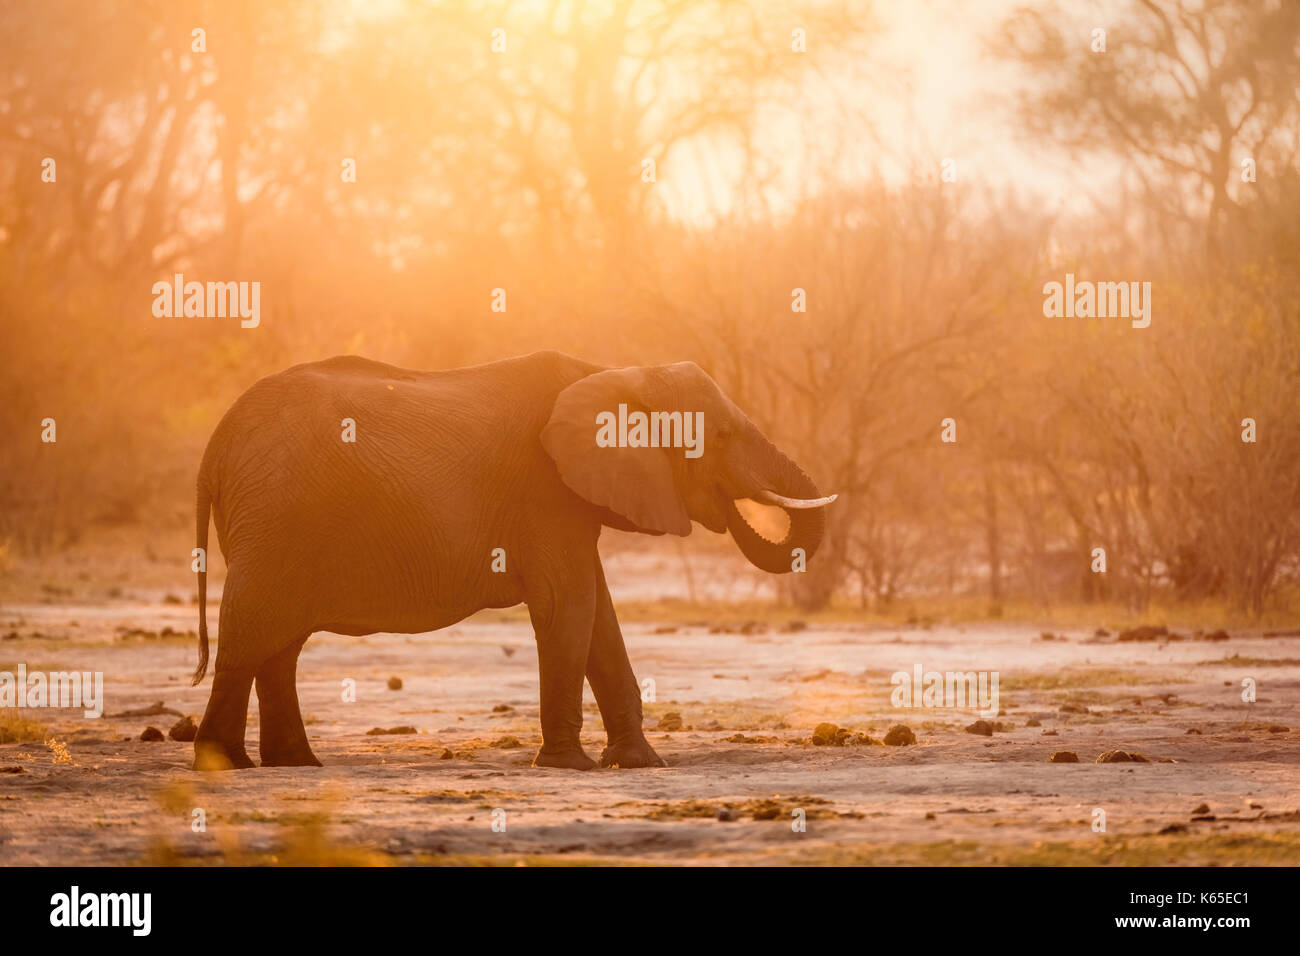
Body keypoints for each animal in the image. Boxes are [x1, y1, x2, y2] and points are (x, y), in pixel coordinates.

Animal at [191, 351, 836, 771]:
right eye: (721, 436)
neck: (616, 371)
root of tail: (214, 445)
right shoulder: (545, 491)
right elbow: (569, 604)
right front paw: (569, 766)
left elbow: (599, 613)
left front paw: (640, 764)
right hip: (275, 518)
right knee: (252, 622)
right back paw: (226, 766)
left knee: (281, 640)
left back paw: (296, 764)